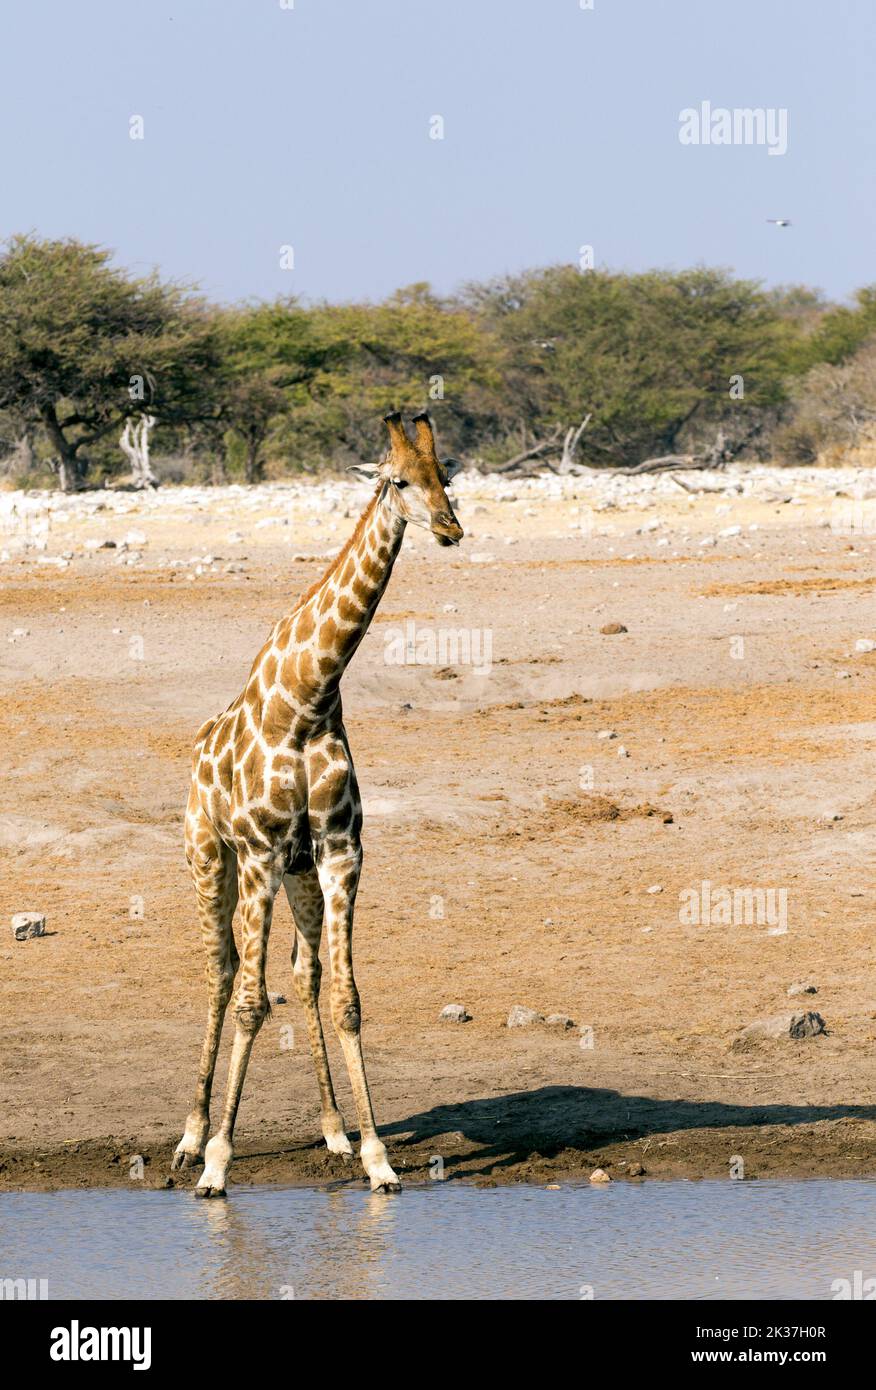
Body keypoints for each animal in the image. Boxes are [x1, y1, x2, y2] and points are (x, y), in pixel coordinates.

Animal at [171, 411, 464, 1196]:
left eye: (445, 475)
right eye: (398, 481)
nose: (451, 527)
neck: (307, 701)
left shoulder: (337, 853)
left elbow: (346, 1000)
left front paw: (376, 1155)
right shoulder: (260, 855)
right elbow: (249, 1001)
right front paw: (217, 1163)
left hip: (298, 876)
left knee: (302, 978)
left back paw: (333, 1130)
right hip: (210, 859)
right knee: (221, 972)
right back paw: (189, 1137)